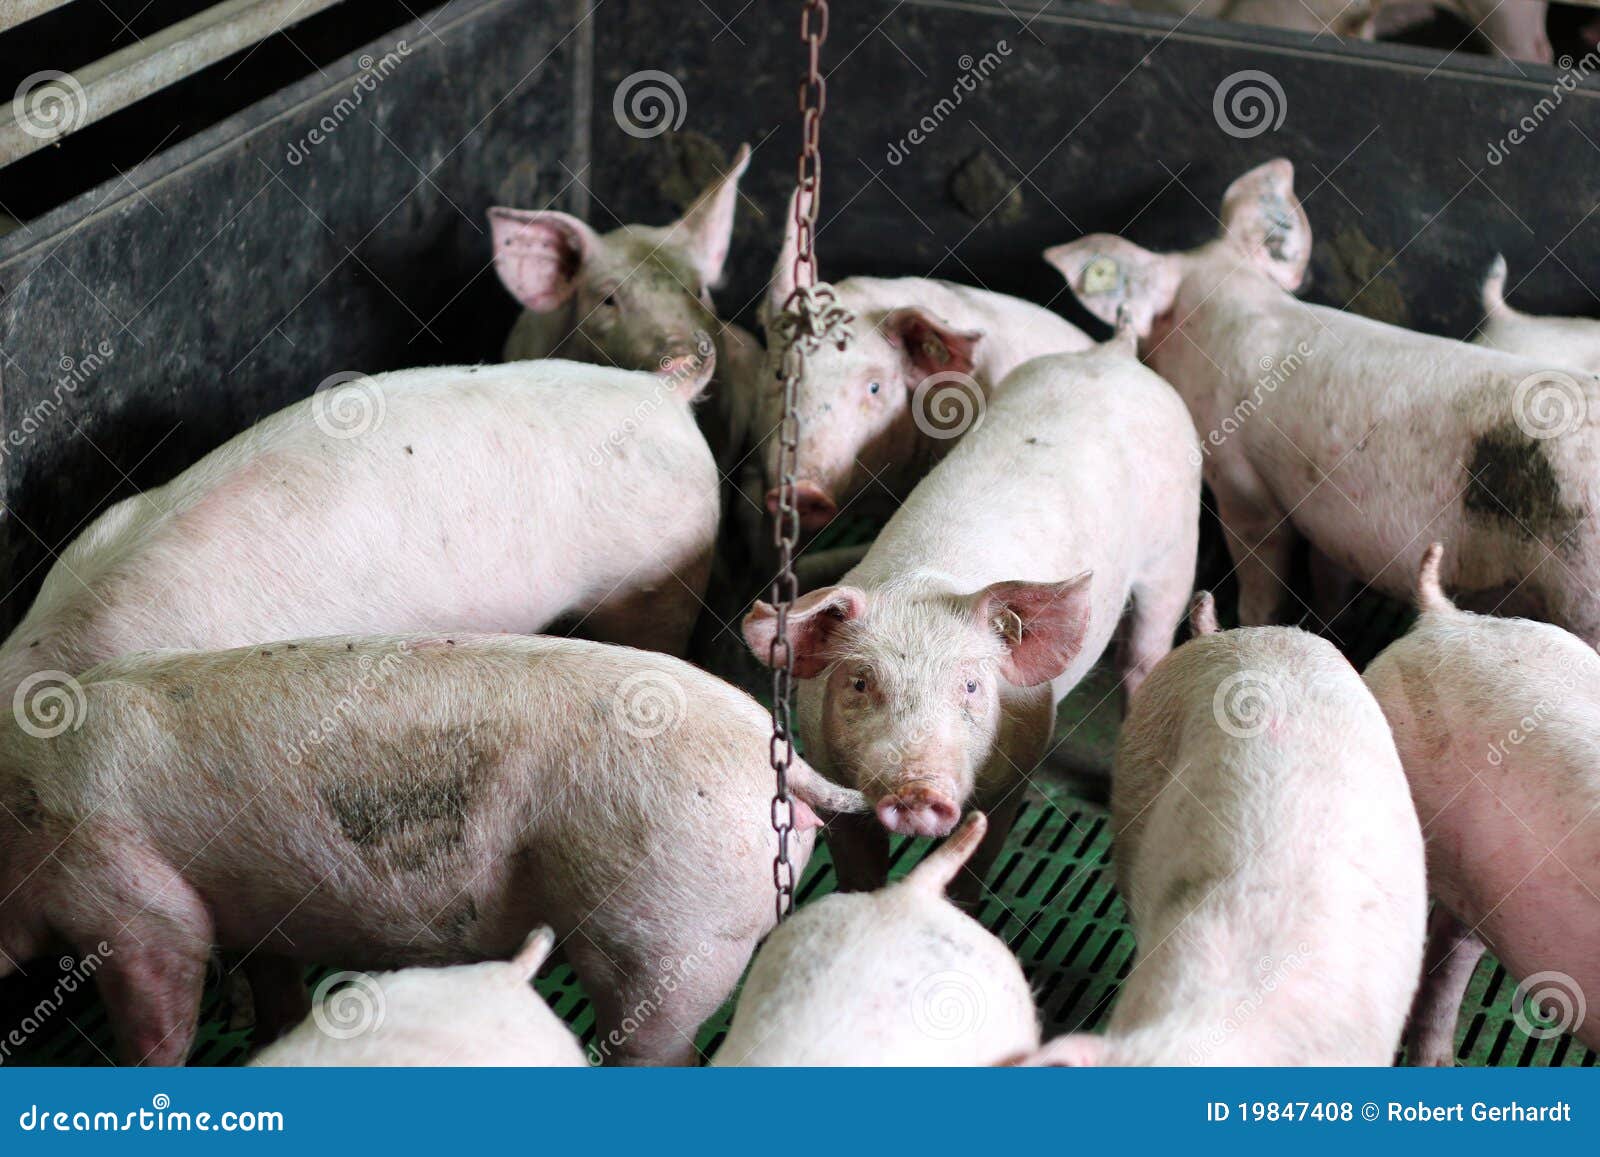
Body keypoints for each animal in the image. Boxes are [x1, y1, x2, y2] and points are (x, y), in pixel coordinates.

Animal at [743, 331, 1200, 893]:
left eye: (971, 686)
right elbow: (859, 873)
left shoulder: (1016, 771)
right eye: (860, 683)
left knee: (1144, 653)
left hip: (1174, 552)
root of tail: (1112, 353)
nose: (917, 789)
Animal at [1046, 158, 1600, 643]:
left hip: (1581, 594)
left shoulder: (1243, 485)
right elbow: (1328, 577)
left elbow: (1262, 580)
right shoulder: (1327, 510)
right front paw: (1333, 629)